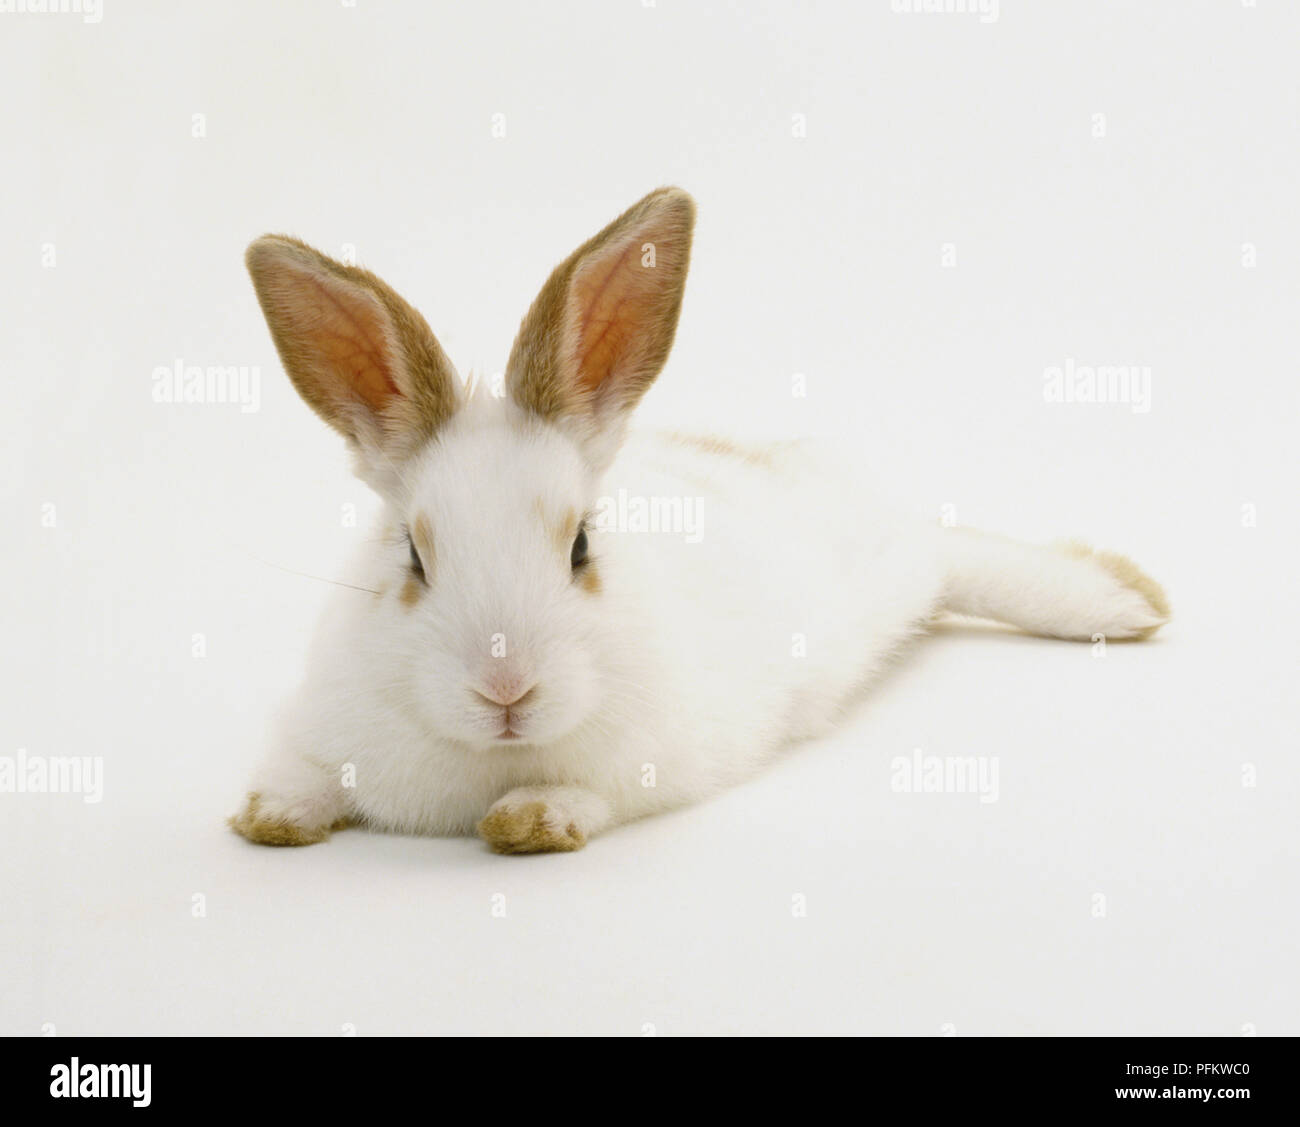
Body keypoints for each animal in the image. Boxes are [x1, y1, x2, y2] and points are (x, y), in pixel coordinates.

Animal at [230, 187, 1170, 854]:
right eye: (414, 560)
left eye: (581, 545)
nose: (506, 691)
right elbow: (300, 773)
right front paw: (269, 812)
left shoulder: (658, 763)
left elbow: (586, 798)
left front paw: (529, 819)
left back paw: (1123, 597)